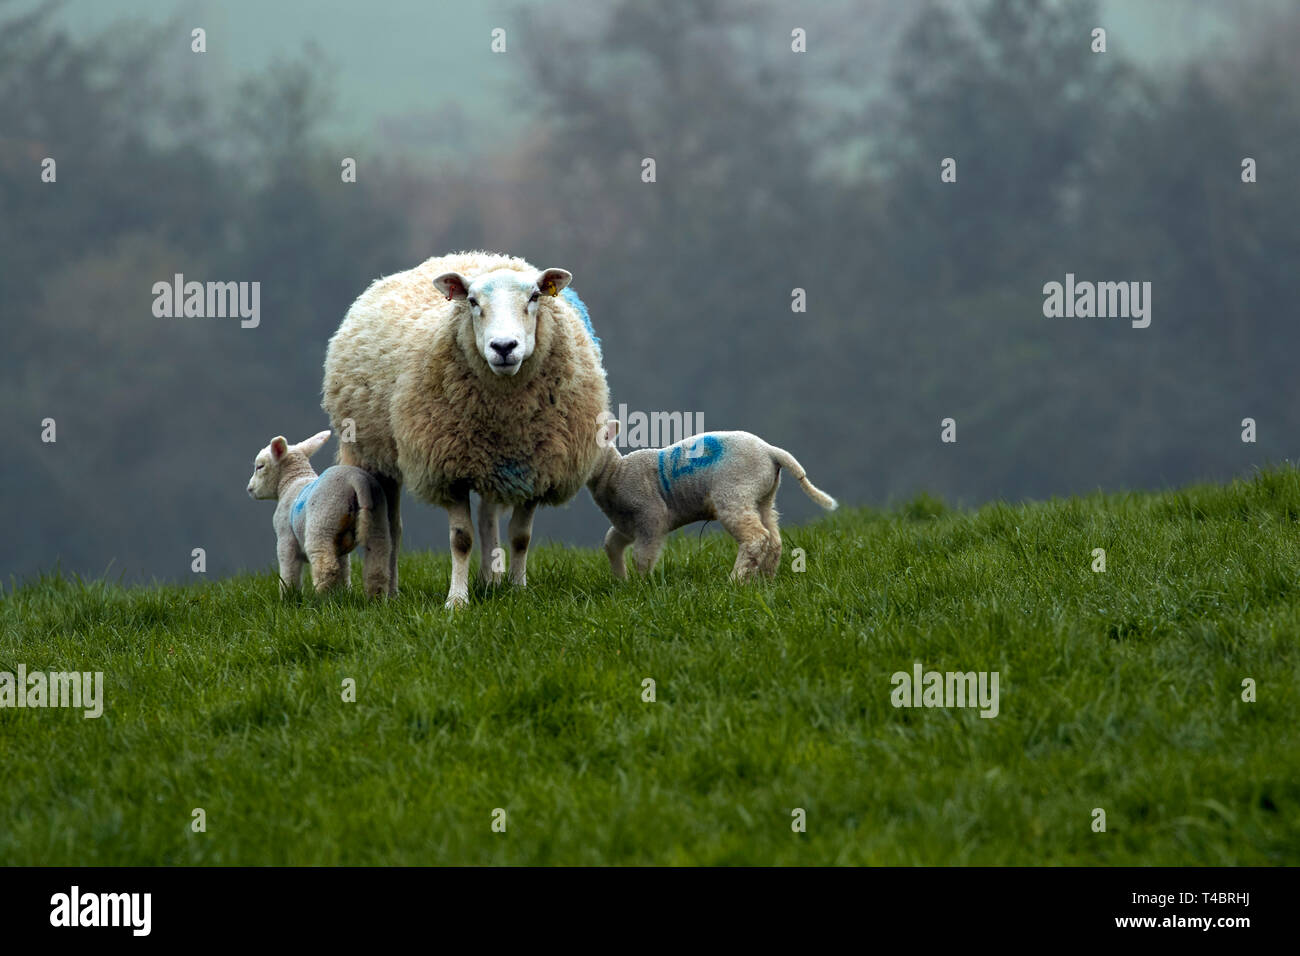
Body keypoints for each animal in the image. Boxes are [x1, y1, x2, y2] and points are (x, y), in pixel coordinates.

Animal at [246, 429, 391, 598]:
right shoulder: (340, 548)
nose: (250, 489)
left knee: (326, 567)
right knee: (378, 563)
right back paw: (376, 597)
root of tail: (355, 480)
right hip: (377, 520)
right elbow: (345, 570)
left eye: (260, 467)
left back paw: (322, 598)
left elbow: (289, 571)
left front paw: (288, 597)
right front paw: (344, 593)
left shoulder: (285, 537)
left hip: (323, 523)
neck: (292, 482)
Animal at [321, 251, 610, 608]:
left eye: (534, 297)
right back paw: (391, 593)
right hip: (375, 454)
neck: (507, 413)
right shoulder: (449, 469)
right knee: (392, 527)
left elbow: (520, 537)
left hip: (491, 463)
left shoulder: (537, 469)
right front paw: (457, 601)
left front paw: (518, 590)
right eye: (472, 301)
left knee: (487, 517)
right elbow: (461, 540)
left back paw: (490, 580)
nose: (504, 347)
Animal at [586, 422, 838, 580]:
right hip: (764, 498)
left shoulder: (650, 516)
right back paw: (764, 580)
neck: (615, 473)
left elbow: (641, 555)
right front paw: (621, 581)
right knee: (774, 539)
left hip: (735, 490)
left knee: (756, 537)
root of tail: (771, 451)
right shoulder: (626, 524)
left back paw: (735, 580)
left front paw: (641, 585)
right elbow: (611, 544)